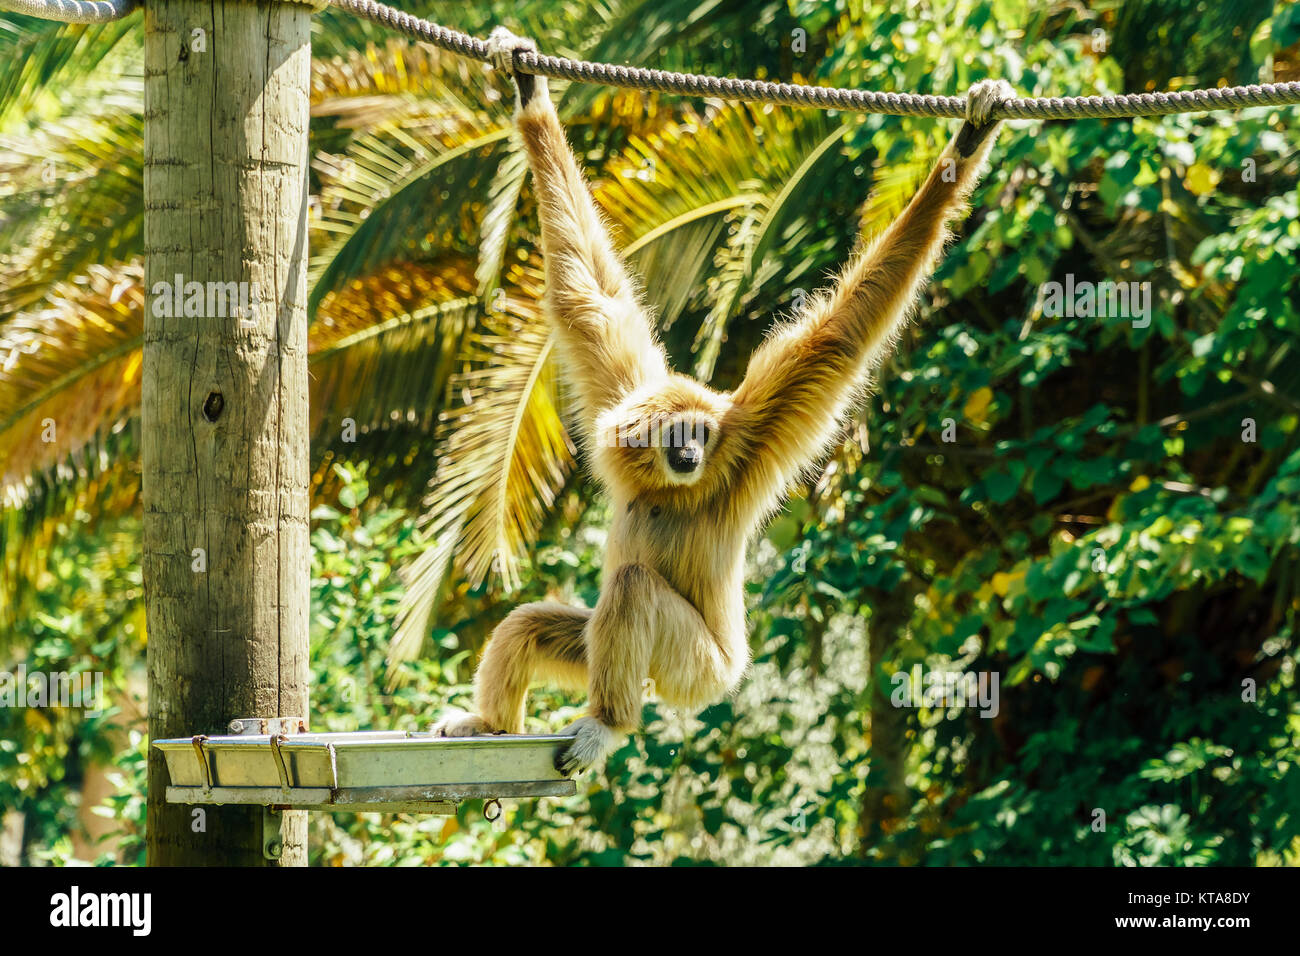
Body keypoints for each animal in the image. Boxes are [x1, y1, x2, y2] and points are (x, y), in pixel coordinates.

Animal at [432, 26, 1014, 775]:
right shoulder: (625, 394)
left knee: (632, 590)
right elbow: (586, 293)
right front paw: (527, 89)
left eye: (698, 435)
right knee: (535, 623)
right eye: (674, 434)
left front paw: (969, 139)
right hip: (624, 657)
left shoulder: (748, 434)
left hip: (696, 669)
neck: (669, 486)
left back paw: (608, 725)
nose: (688, 453)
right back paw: (490, 722)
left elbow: (838, 339)